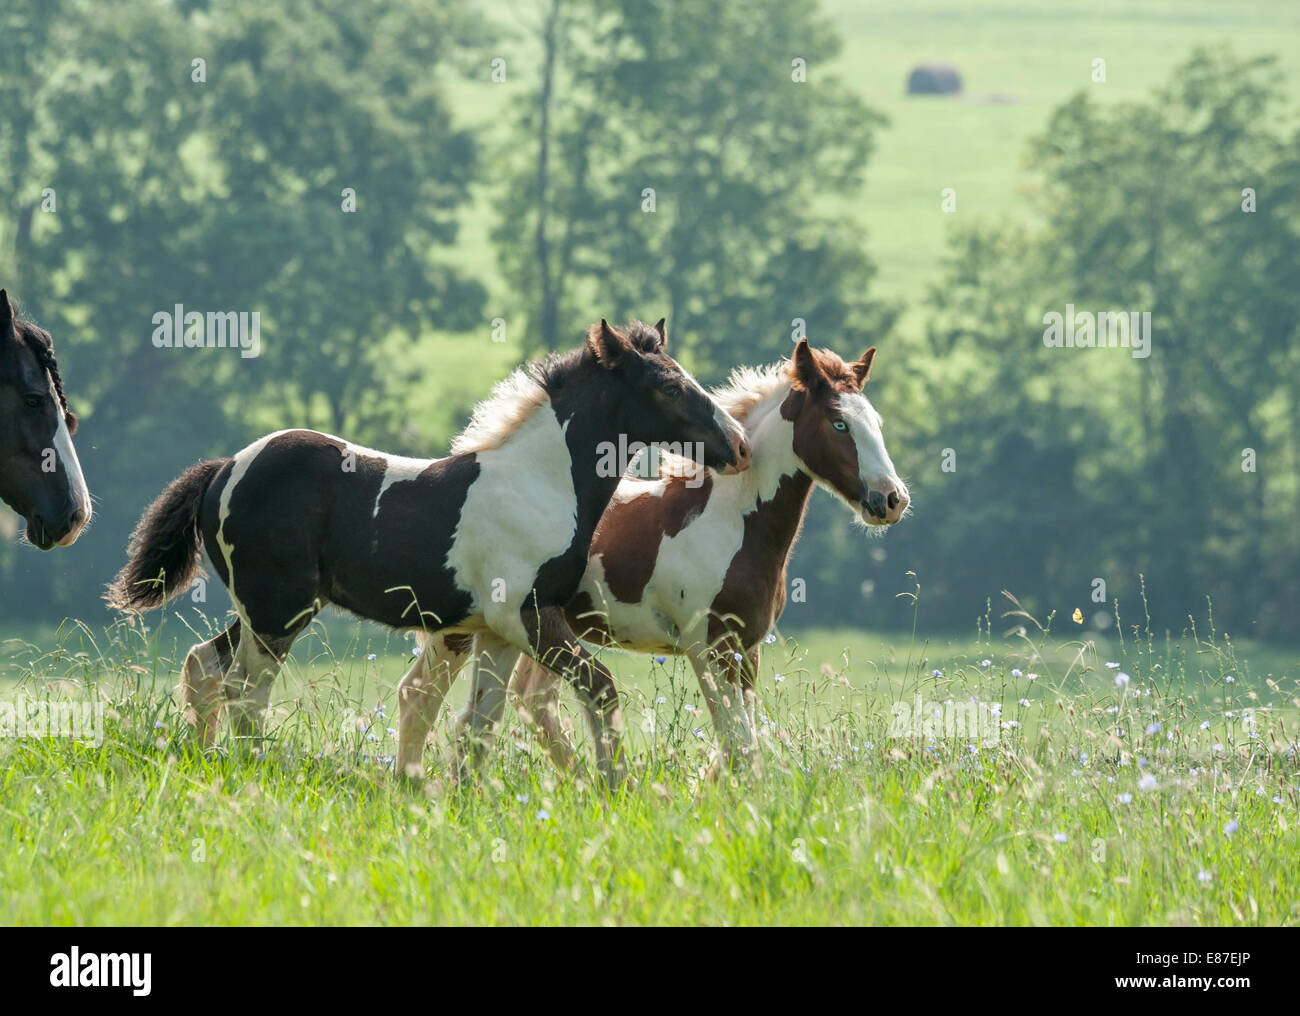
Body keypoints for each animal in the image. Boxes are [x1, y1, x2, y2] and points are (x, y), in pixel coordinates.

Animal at [108, 319, 750, 788]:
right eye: (668, 386)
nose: (739, 446)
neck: (542, 482)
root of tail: (223, 469)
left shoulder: (494, 632)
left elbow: (479, 723)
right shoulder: (528, 617)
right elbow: (600, 687)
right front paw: (616, 788)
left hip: (264, 609)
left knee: (204, 666)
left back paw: (205, 764)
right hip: (278, 610)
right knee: (244, 690)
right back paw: (249, 774)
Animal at [397, 339, 908, 777]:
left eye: (878, 423)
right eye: (839, 423)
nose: (891, 499)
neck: (727, 519)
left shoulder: (746, 649)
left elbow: (741, 744)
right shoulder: (708, 646)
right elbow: (737, 743)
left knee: (518, 703)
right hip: (469, 627)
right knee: (426, 696)